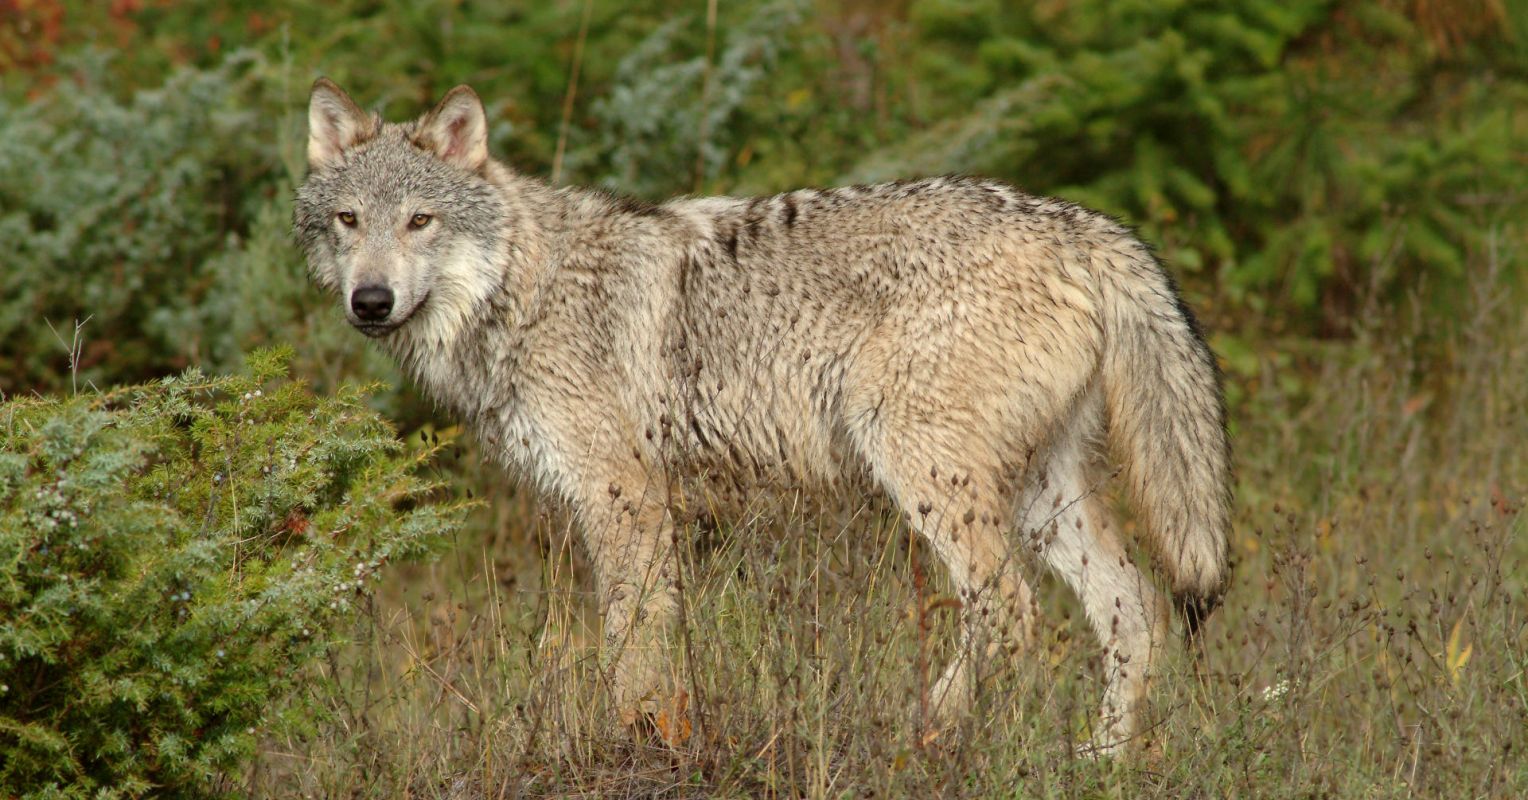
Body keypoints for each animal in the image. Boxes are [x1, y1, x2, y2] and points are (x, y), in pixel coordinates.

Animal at [294, 79, 1232, 754]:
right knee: (1138, 614)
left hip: (927, 474)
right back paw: (1098, 765)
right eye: (349, 221)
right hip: (1042, 499)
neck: (523, 290)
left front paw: (636, 742)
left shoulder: (625, 499)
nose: (370, 302)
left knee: (1010, 612)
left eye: (421, 221)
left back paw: (930, 729)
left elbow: (631, 647)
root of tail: (1084, 224)